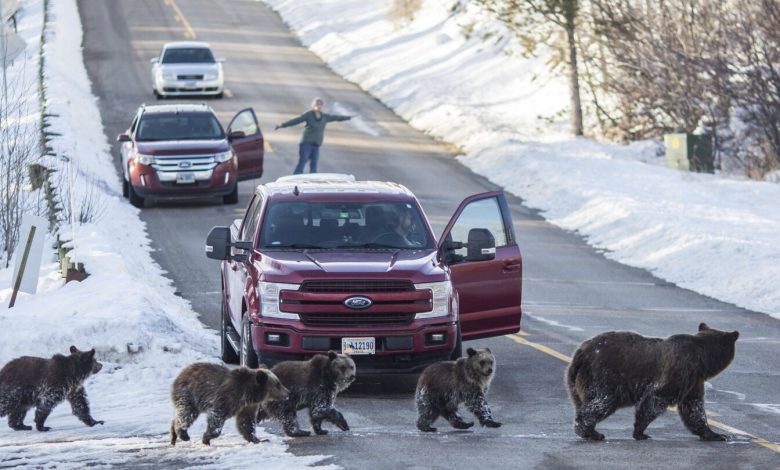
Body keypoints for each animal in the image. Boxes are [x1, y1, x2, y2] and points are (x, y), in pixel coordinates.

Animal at [565, 323, 739, 441]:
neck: (703, 360)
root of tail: (581, 353)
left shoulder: (694, 380)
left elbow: (694, 408)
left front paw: (716, 434)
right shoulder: (681, 370)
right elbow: (657, 398)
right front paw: (641, 432)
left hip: (575, 382)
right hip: (604, 375)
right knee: (601, 402)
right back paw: (592, 432)